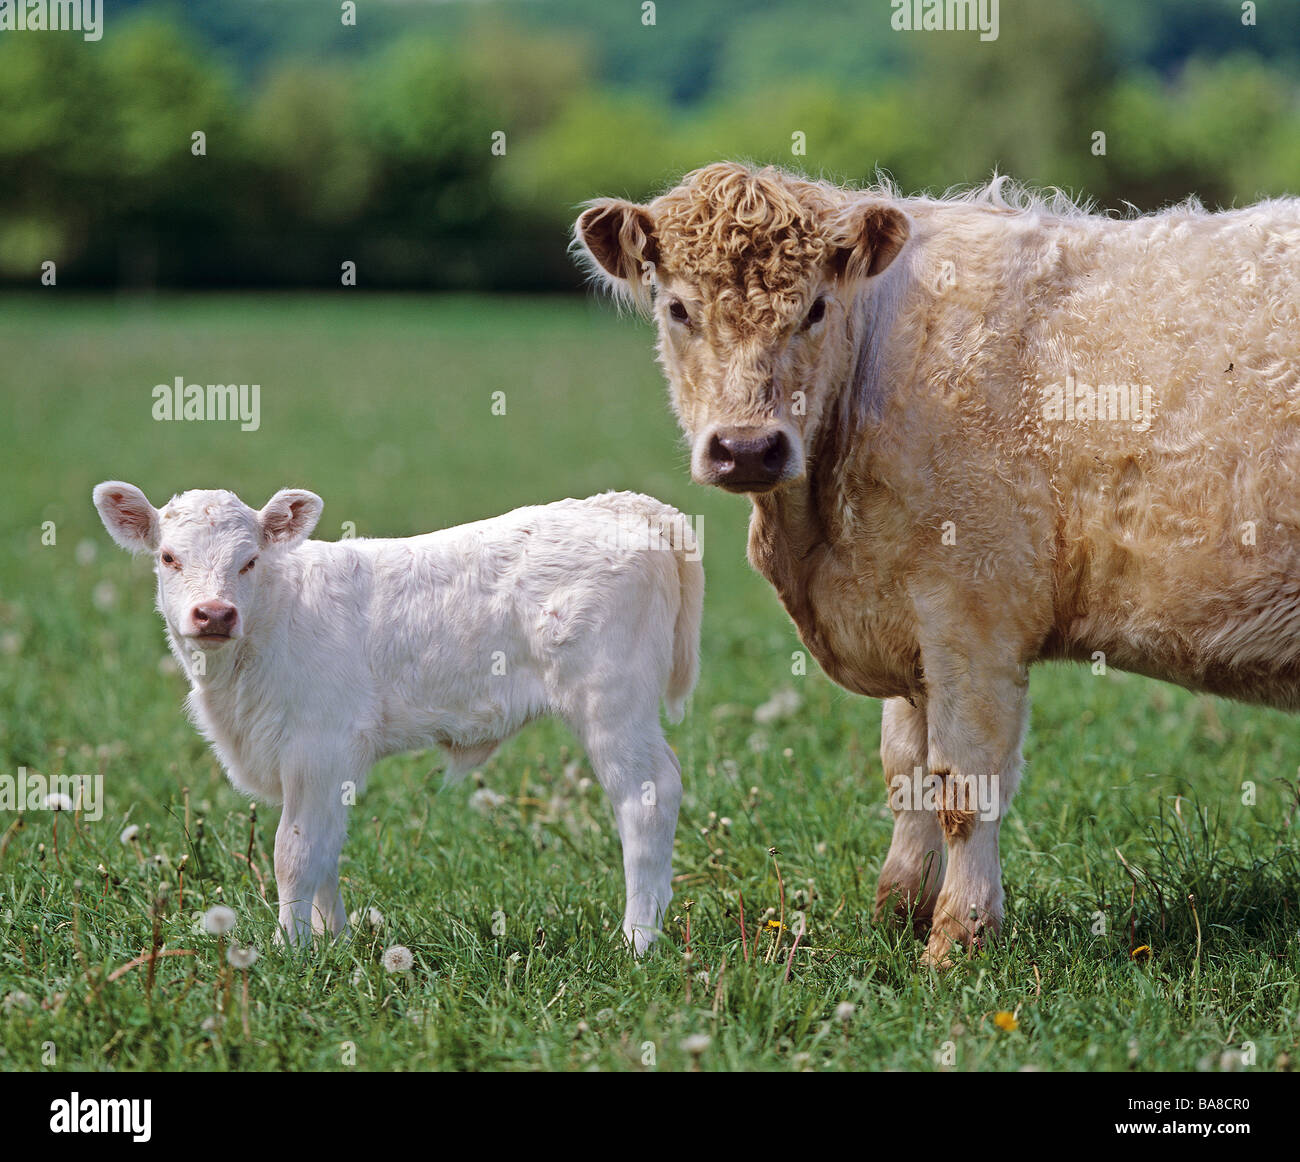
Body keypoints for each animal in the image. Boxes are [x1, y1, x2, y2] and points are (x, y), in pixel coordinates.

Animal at [93, 482, 703, 954]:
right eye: (168, 557)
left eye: (250, 560)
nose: (215, 614)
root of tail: (621, 504)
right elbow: (325, 852)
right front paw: (333, 942)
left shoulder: (319, 747)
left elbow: (295, 852)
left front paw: (287, 950)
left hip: (611, 703)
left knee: (647, 797)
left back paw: (637, 940)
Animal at [574, 160, 1300, 965]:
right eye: (677, 308)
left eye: (816, 308)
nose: (748, 448)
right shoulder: (909, 618)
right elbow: (906, 774)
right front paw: (897, 911)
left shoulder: (971, 615)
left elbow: (961, 786)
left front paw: (957, 936)